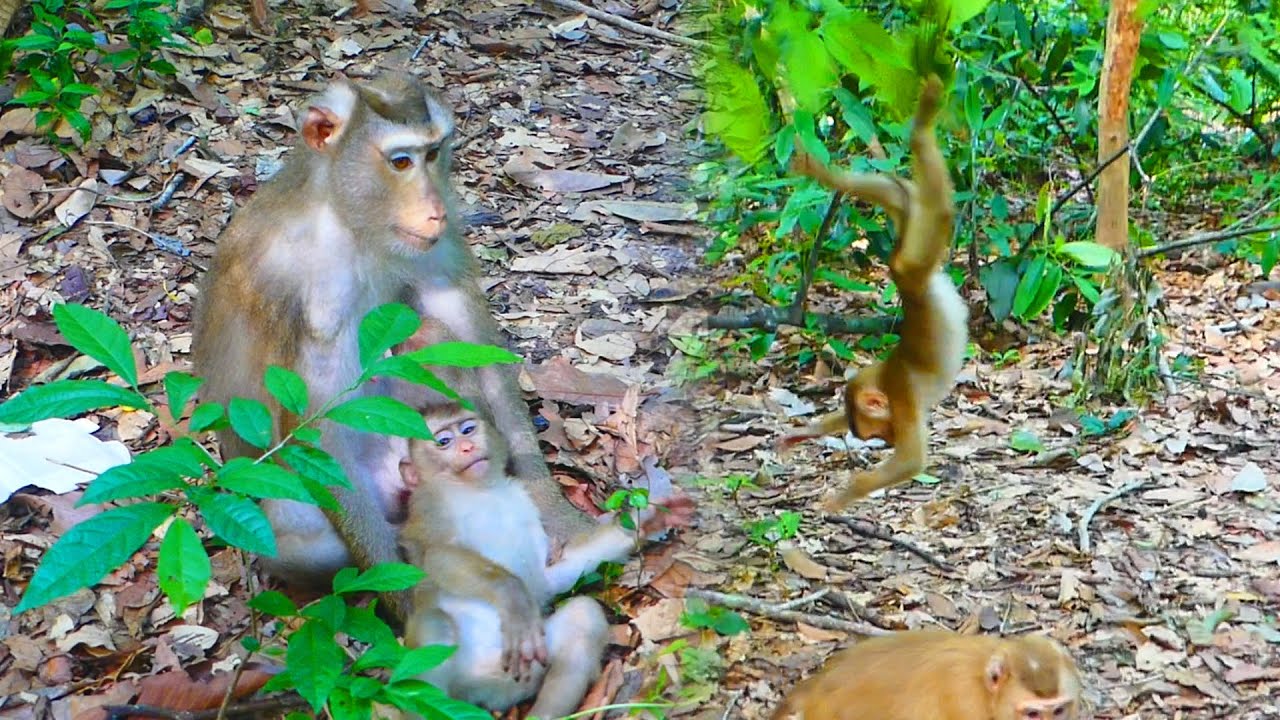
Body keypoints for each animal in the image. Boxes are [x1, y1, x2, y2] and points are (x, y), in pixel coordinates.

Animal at [191, 72, 596, 625]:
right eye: (400, 161)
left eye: (433, 153)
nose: (436, 210)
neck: (347, 220)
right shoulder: (315, 285)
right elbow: (318, 420)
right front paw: (411, 603)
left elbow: (470, 337)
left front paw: (552, 512)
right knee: (300, 534)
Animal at [397, 404, 694, 718]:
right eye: (443, 441)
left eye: (467, 430)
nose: (467, 447)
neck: (481, 491)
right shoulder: (429, 504)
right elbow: (437, 555)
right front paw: (512, 597)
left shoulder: (524, 500)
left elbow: (547, 580)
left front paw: (648, 521)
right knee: (434, 624)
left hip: (528, 671)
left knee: (583, 616)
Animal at [778, 75, 969, 510]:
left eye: (881, 433)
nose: (887, 441)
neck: (885, 374)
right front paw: (807, 431)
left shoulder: (903, 398)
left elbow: (912, 460)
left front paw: (843, 496)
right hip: (913, 225)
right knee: (898, 194)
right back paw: (833, 176)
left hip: (915, 255)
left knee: (926, 221)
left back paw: (921, 123)